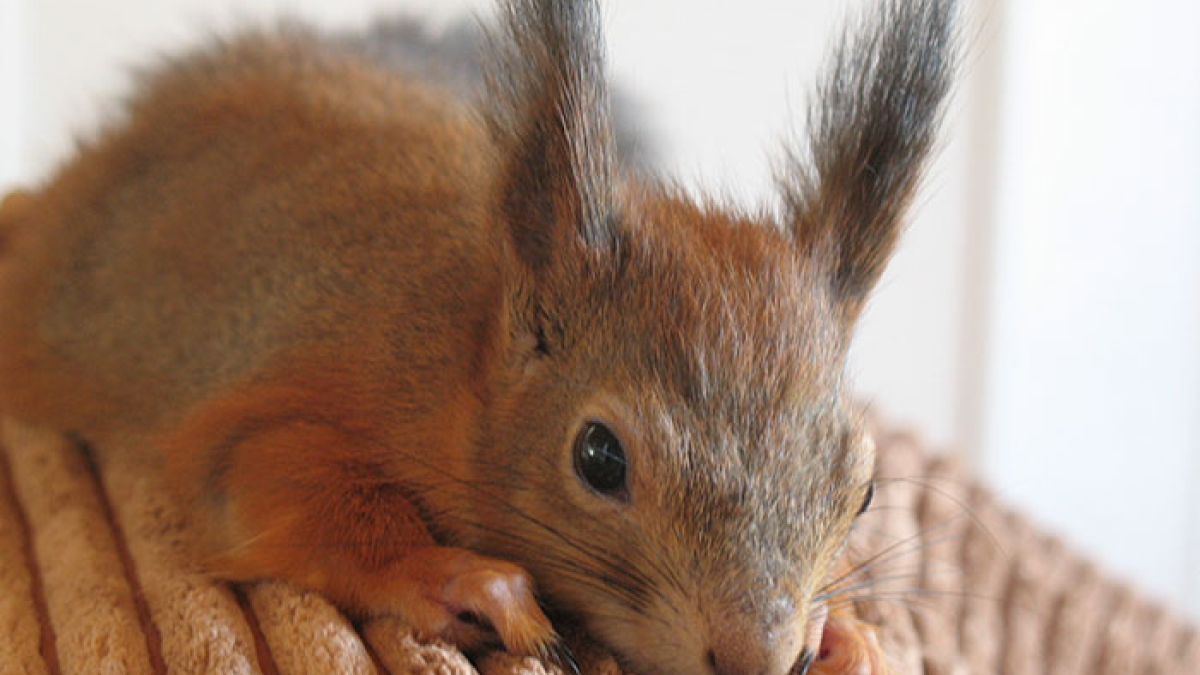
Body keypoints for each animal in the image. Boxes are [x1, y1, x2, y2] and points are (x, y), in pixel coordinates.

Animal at [0, 1, 958, 674]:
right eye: (599, 457)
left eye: (865, 492)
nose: (755, 655)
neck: (465, 345)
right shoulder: (288, 391)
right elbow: (280, 479)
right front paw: (458, 576)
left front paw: (848, 631)